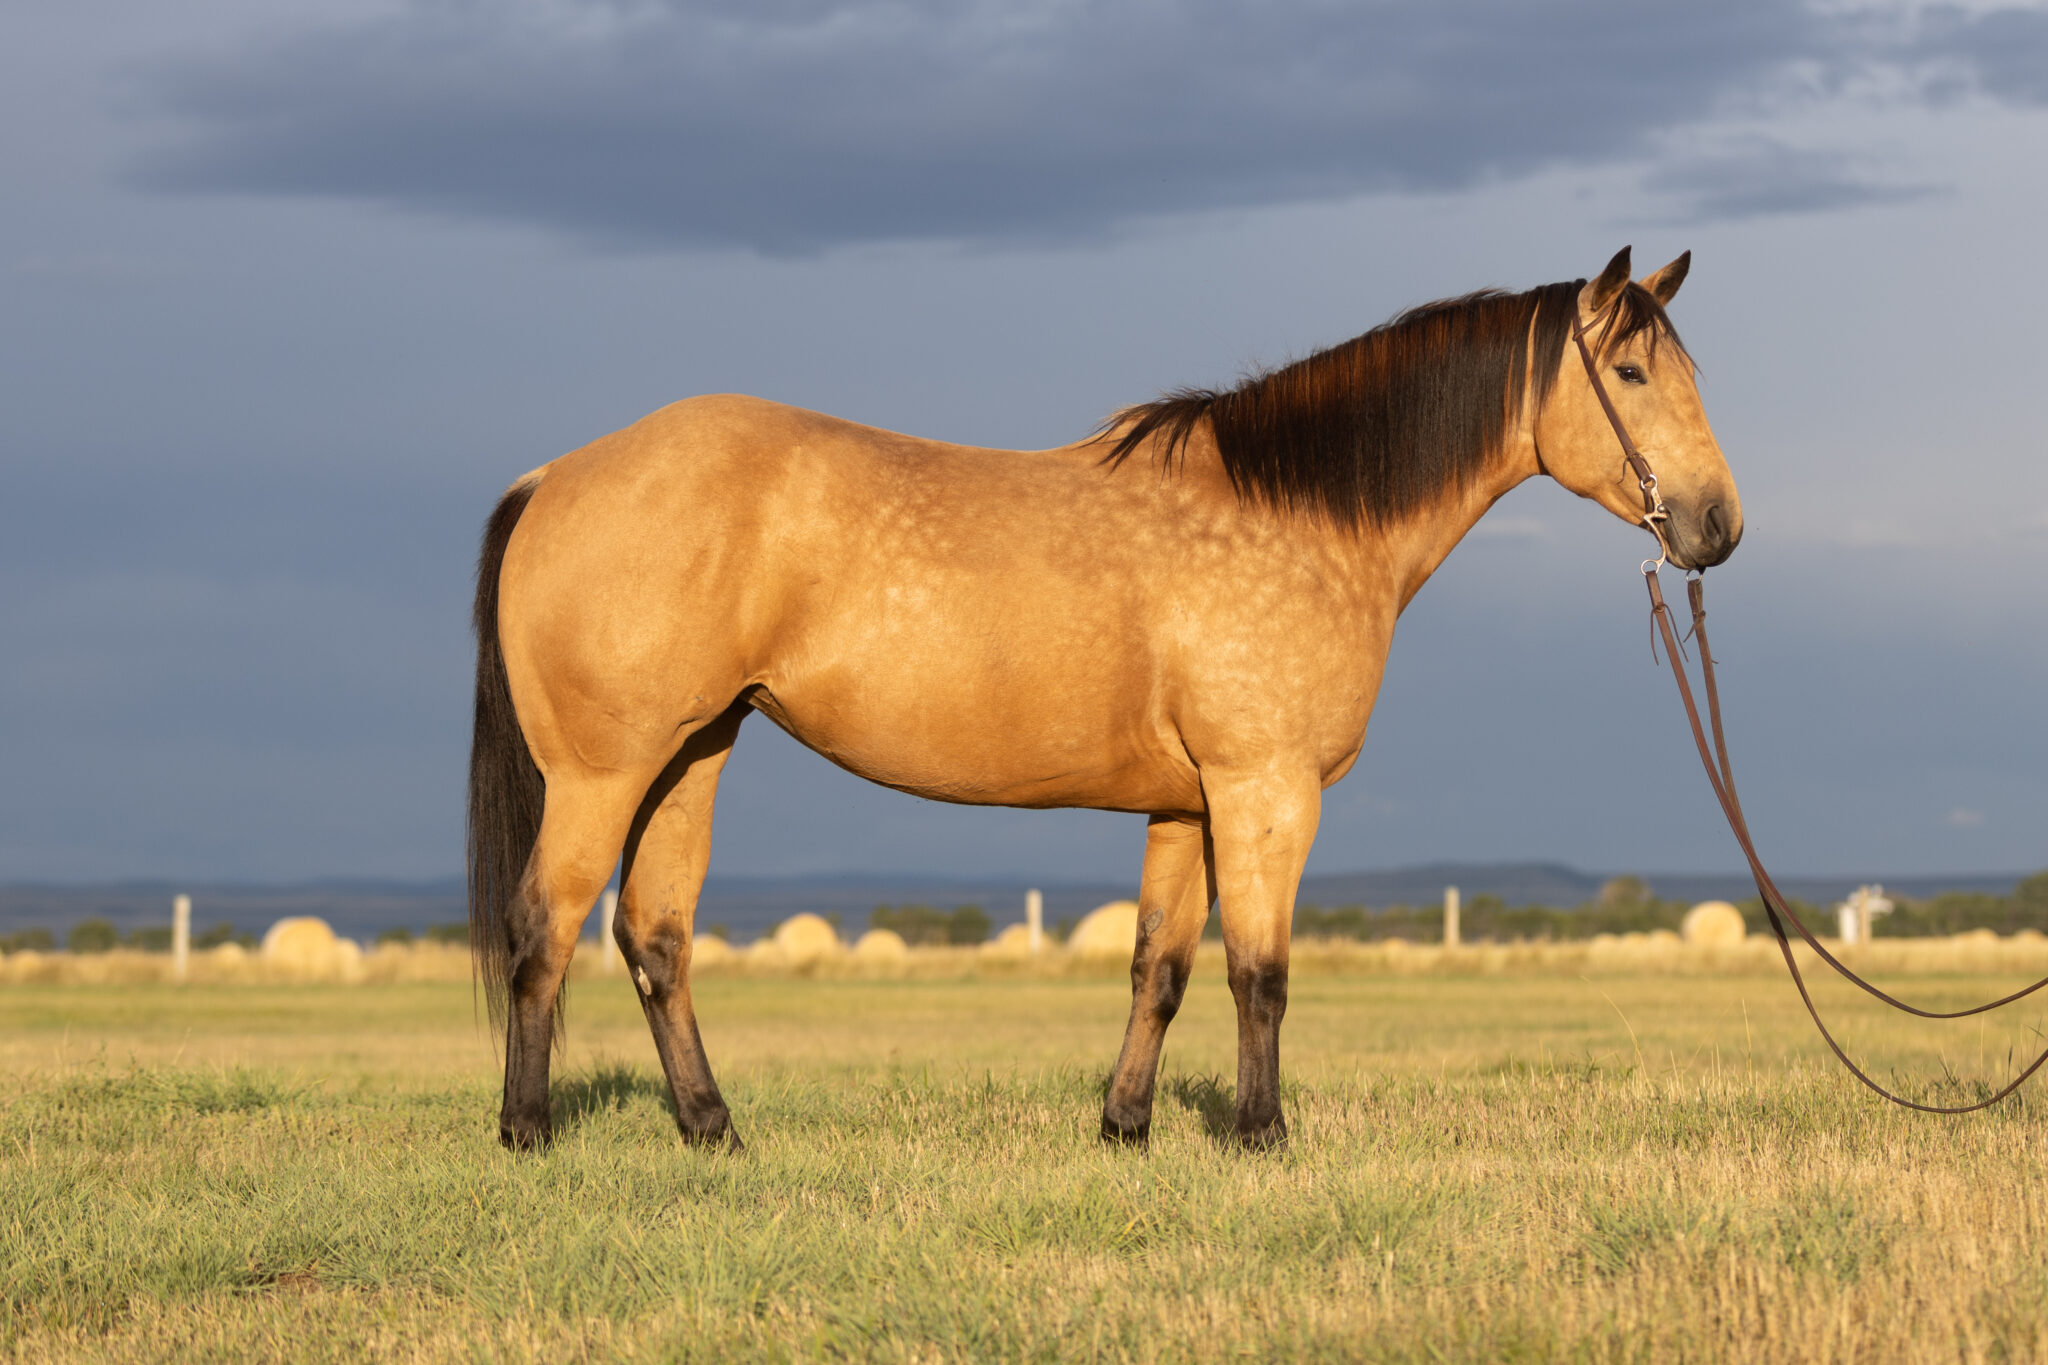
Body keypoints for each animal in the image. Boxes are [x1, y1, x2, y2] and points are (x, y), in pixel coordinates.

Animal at [467, 245, 1740, 1152]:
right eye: (1630, 373)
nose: (1715, 528)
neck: (1298, 518)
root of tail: (554, 477)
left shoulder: (1184, 806)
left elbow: (1159, 967)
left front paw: (1124, 1127)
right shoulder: (1263, 792)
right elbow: (1258, 972)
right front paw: (1261, 1136)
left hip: (693, 754)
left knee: (653, 934)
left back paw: (711, 1129)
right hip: (603, 772)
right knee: (545, 927)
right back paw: (527, 1131)